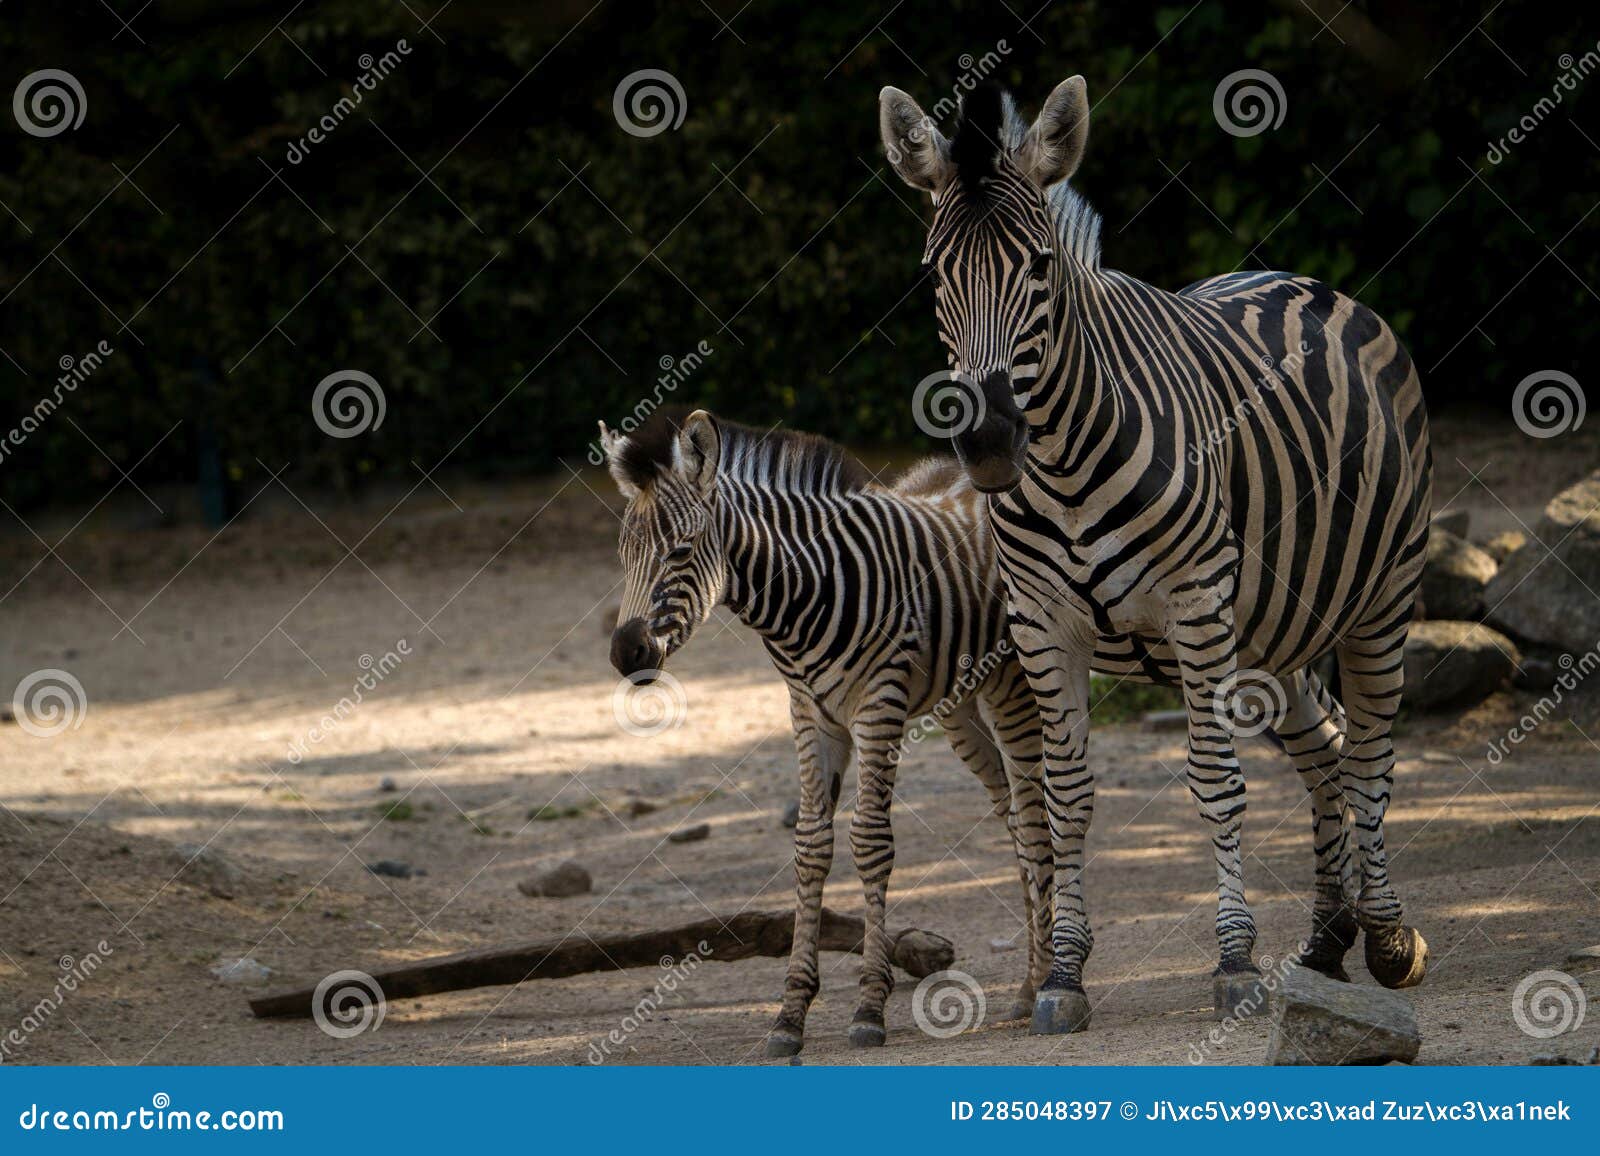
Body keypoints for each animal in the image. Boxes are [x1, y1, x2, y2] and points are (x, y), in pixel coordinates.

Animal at [600, 406, 1052, 1055]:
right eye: (622, 553)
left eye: (681, 551)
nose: (625, 654)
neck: (806, 591)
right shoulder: (809, 713)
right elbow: (811, 846)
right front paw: (791, 1013)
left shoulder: (878, 703)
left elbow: (870, 842)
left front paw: (869, 1006)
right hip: (960, 708)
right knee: (1014, 814)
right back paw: (1028, 982)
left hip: (1013, 683)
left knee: (1039, 813)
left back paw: (1048, 979)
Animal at [879, 78, 1432, 1034]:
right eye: (935, 275)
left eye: (1039, 268)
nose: (986, 444)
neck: (1064, 464)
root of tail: (1305, 282)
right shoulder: (1041, 624)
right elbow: (1065, 797)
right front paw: (1064, 975)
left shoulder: (1196, 606)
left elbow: (1215, 779)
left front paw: (1234, 962)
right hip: (1274, 633)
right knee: (1326, 749)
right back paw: (1329, 941)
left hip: (1380, 601)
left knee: (1367, 756)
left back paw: (1390, 938)